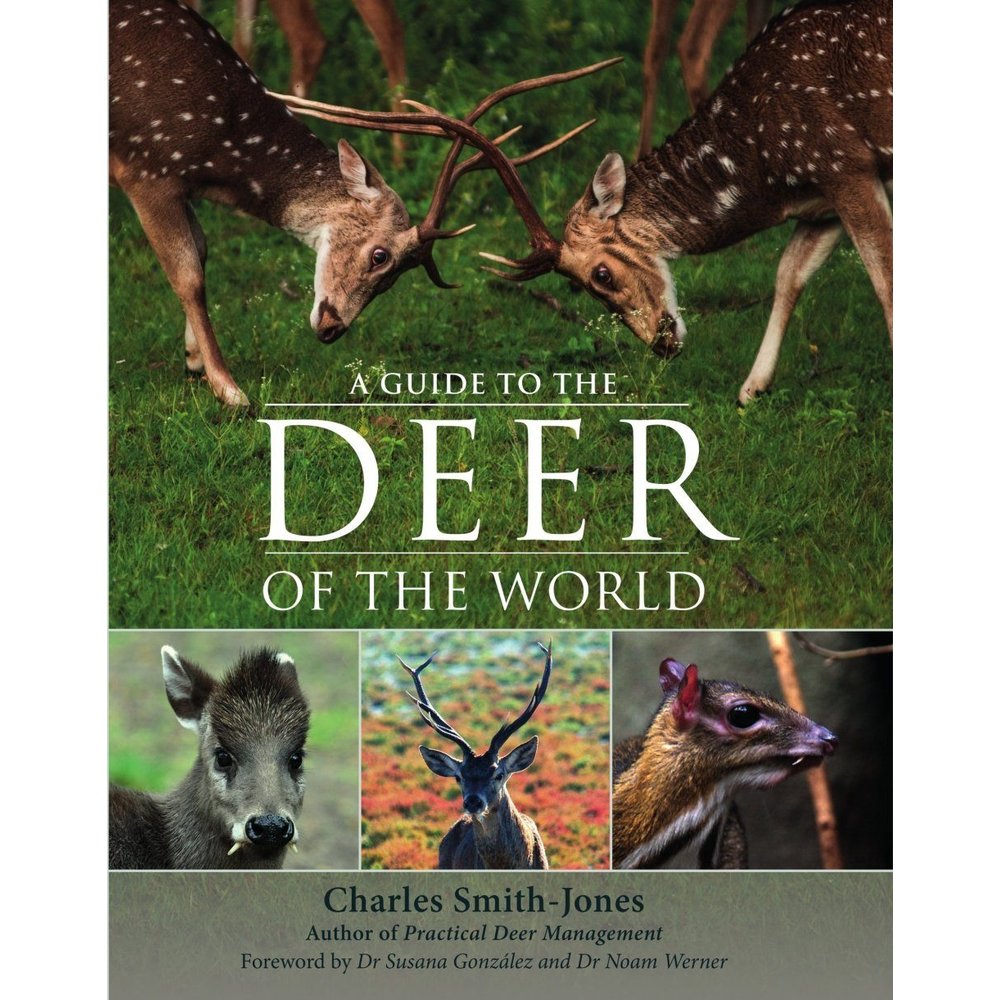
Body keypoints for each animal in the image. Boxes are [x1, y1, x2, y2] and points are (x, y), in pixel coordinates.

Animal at [110, 0, 613, 405]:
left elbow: (202, 251)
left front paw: (193, 362)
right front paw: (231, 391)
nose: (331, 329)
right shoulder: (148, 169)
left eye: (394, 280)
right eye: (380, 255)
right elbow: (188, 275)